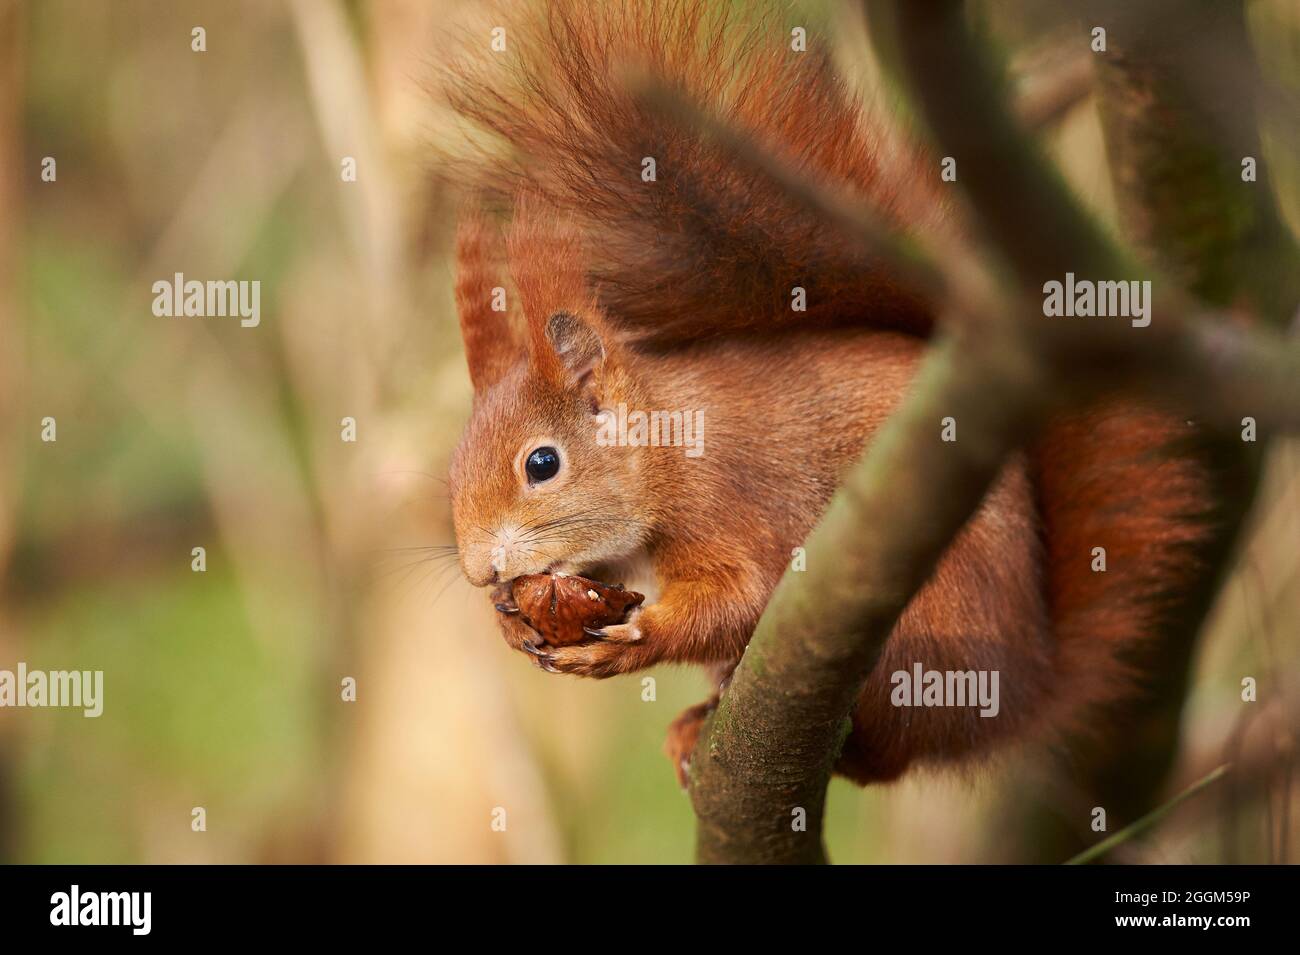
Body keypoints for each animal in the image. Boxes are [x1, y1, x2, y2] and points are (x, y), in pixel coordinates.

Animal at [441, 0, 1216, 787]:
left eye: (542, 464)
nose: (480, 572)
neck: (664, 455)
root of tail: (1023, 688)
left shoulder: (724, 508)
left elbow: (741, 598)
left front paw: (633, 639)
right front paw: (511, 620)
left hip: (926, 634)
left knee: (885, 753)